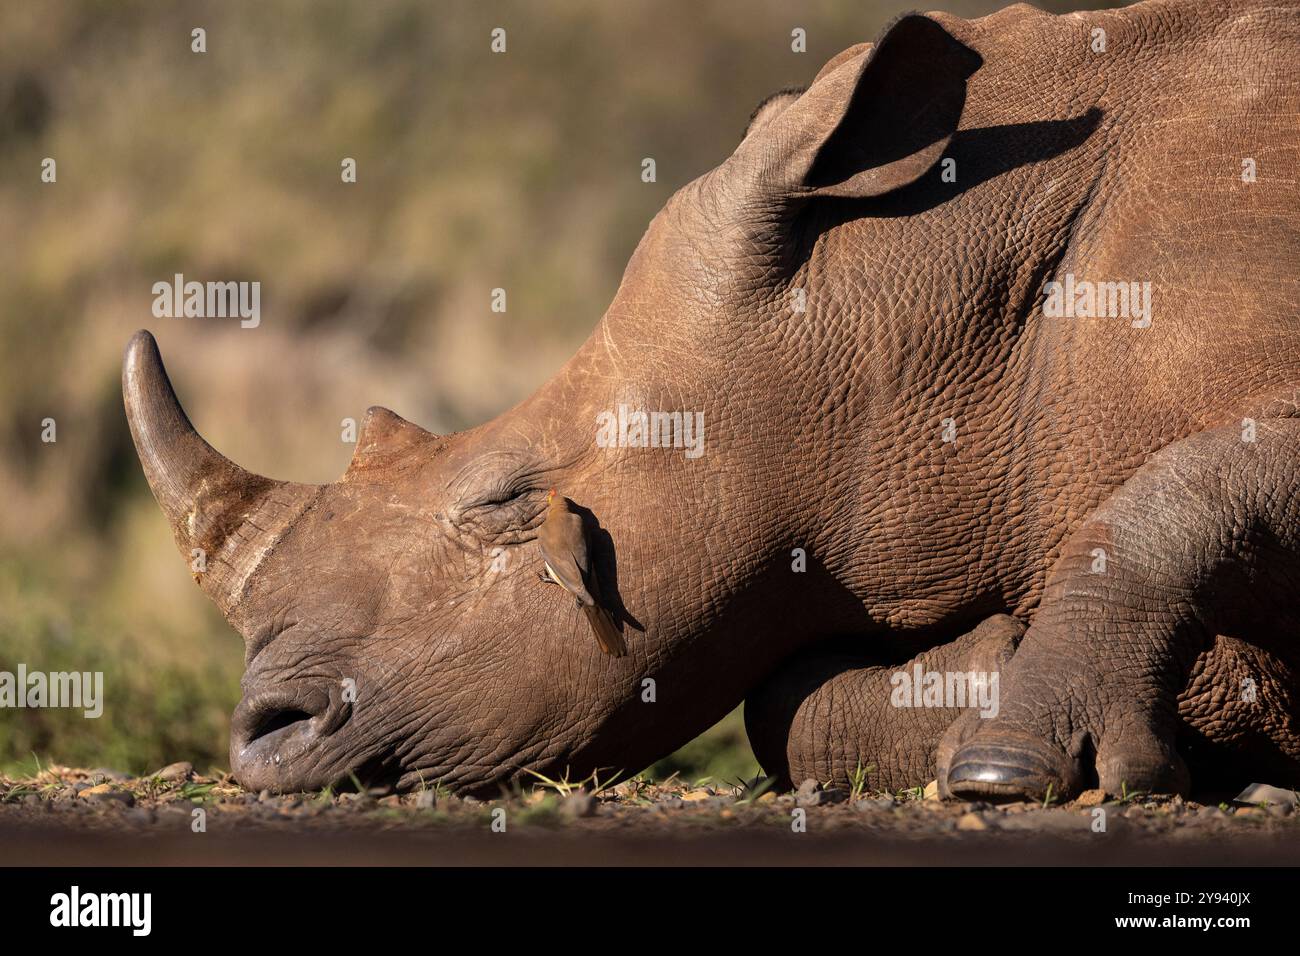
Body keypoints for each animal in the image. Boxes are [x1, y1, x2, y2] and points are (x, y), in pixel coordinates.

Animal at [123, 0, 1300, 801]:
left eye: (507, 503)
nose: (264, 734)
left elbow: (1186, 488)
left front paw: (1009, 768)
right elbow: (785, 702)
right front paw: (1007, 673)